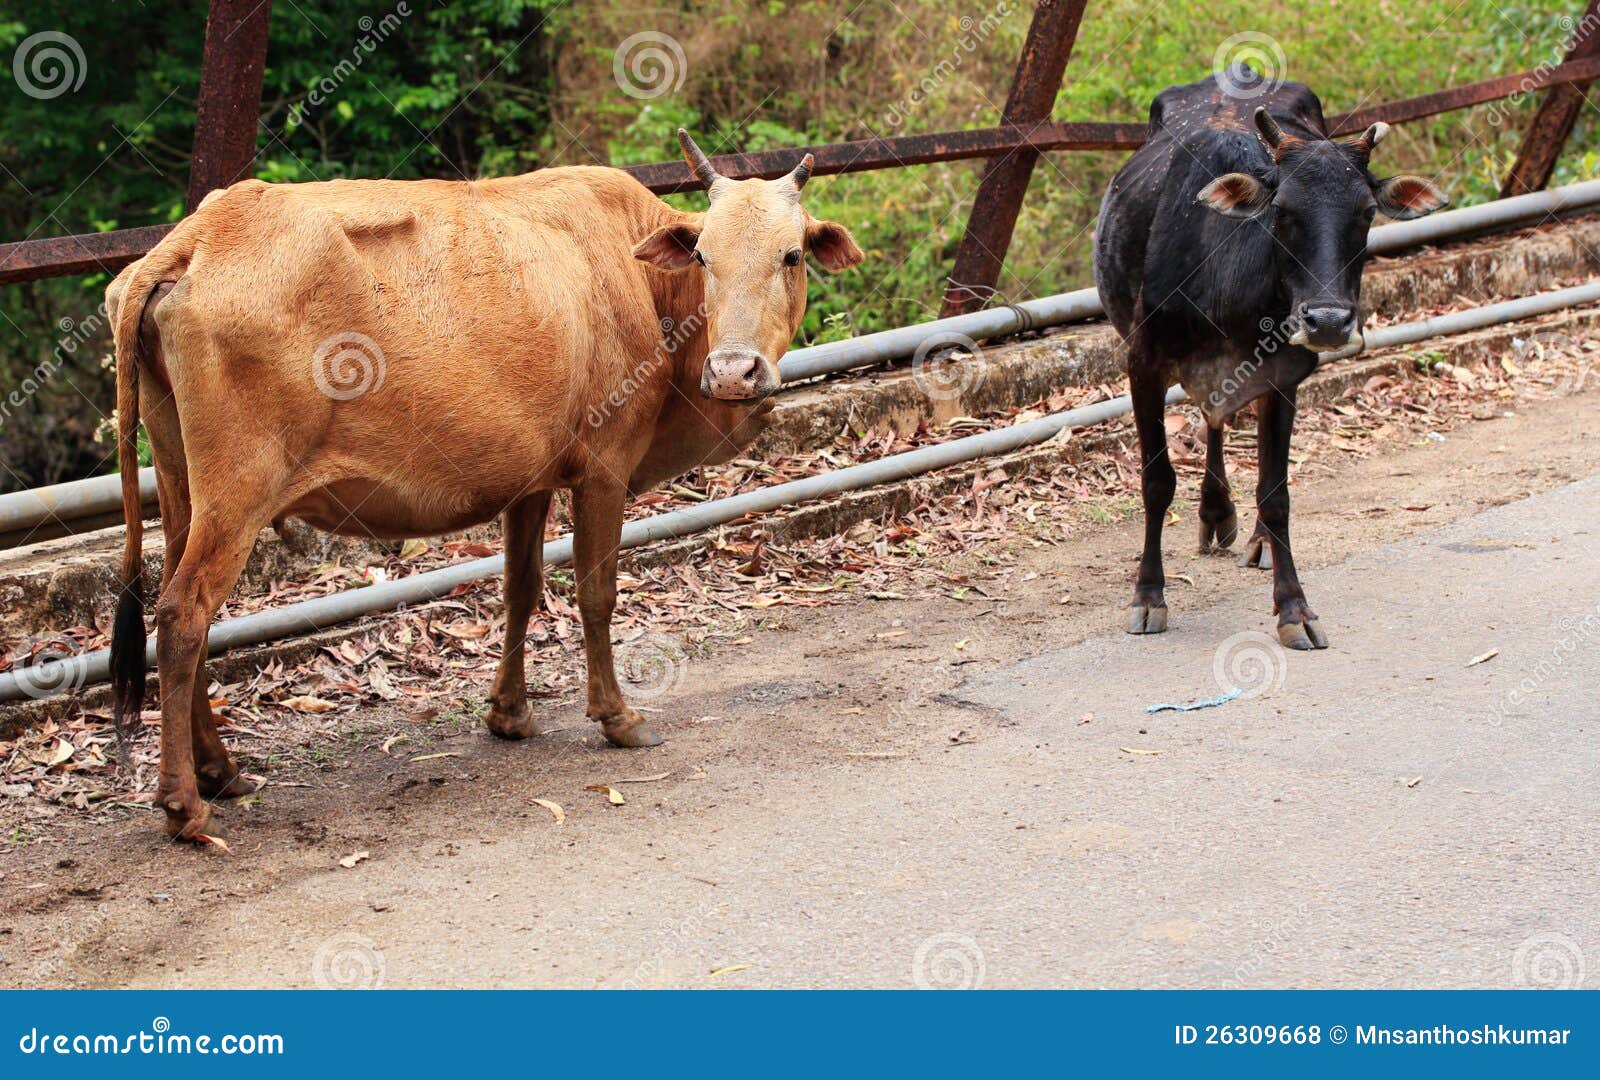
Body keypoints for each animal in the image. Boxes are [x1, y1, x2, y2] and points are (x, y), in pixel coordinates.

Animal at [105, 130, 863, 841]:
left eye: (791, 256)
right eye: (704, 256)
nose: (734, 372)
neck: (642, 285)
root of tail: (193, 240)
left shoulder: (531, 478)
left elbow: (521, 589)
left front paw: (509, 712)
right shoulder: (605, 469)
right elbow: (596, 594)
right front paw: (617, 717)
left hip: (180, 487)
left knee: (180, 611)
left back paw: (221, 770)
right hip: (236, 497)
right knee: (184, 616)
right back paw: (184, 802)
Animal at [1093, 65, 1446, 650]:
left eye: (1367, 213)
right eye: (1282, 212)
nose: (1327, 320)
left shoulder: (1283, 377)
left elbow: (1276, 493)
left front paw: (1293, 607)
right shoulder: (1142, 365)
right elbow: (1156, 482)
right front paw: (1148, 596)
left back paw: (1241, 527)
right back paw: (1215, 513)